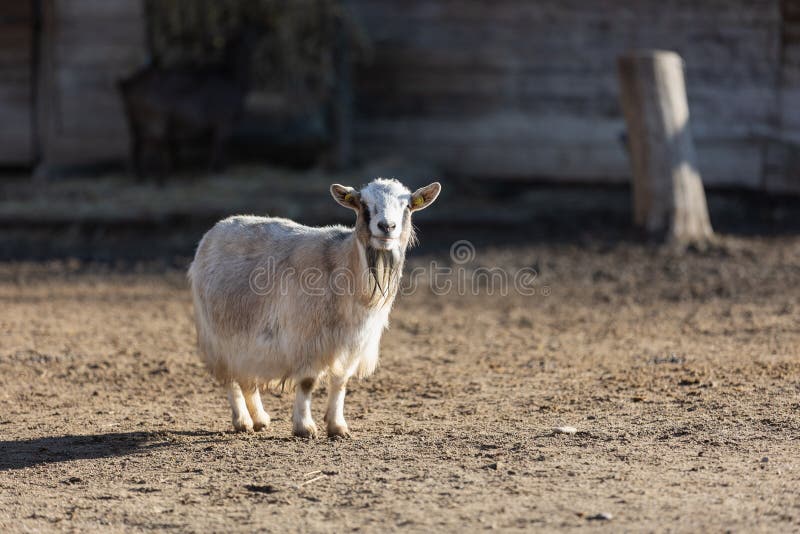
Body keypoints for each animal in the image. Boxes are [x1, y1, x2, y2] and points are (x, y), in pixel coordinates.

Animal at [188, 178, 441, 437]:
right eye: (363, 205)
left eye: (407, 206)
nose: (387, 226)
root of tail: (214, 231)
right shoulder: (307, 337)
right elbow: (308, 382)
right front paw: (304, 427)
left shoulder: (353, 342)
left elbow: (340, 381)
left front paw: (338, 426)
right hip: (217, 337)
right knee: (231, 378)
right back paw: (243, 421)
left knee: (247, 377)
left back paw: (260, 419)